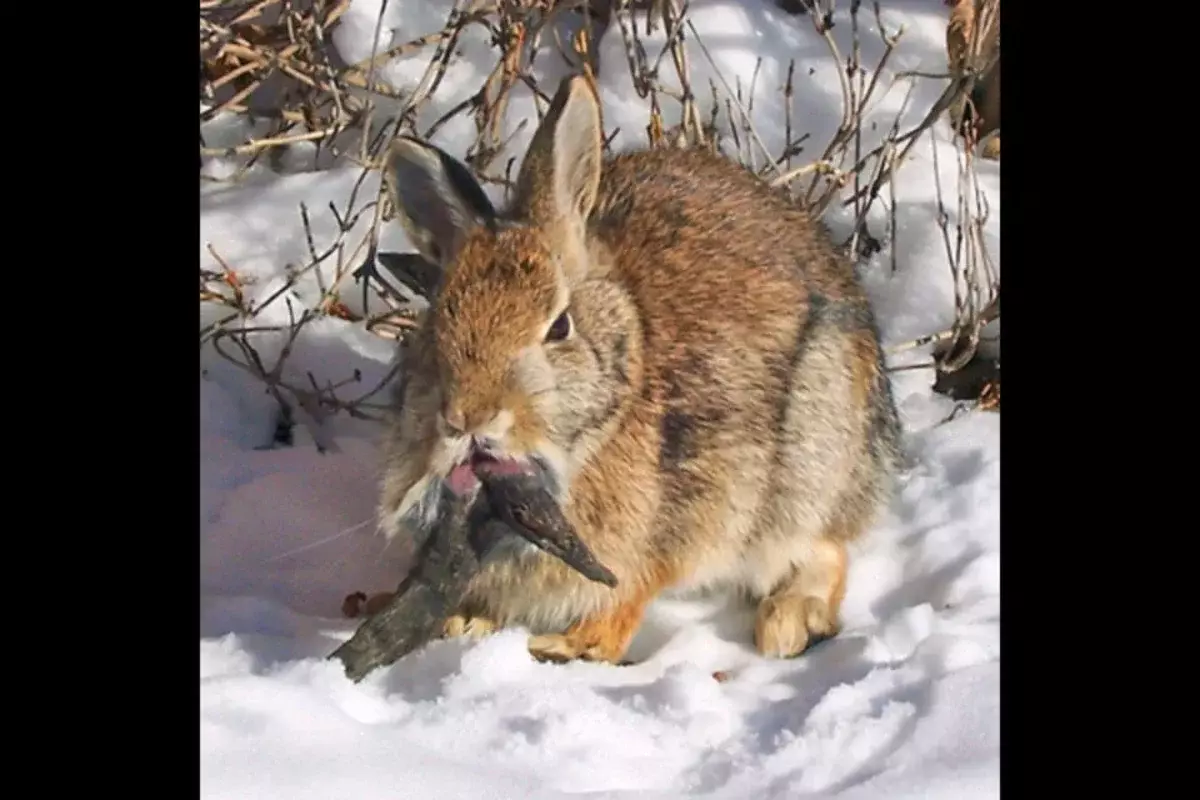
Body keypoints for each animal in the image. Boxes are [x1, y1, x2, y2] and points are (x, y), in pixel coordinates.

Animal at [374, 73, 902, 665]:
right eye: (436, 323)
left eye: (559, 327)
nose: (469, 419)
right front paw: (466, 623)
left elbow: (630, 594)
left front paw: (570, 646)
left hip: (813, 456)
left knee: (824, 547)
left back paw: (790, 622)